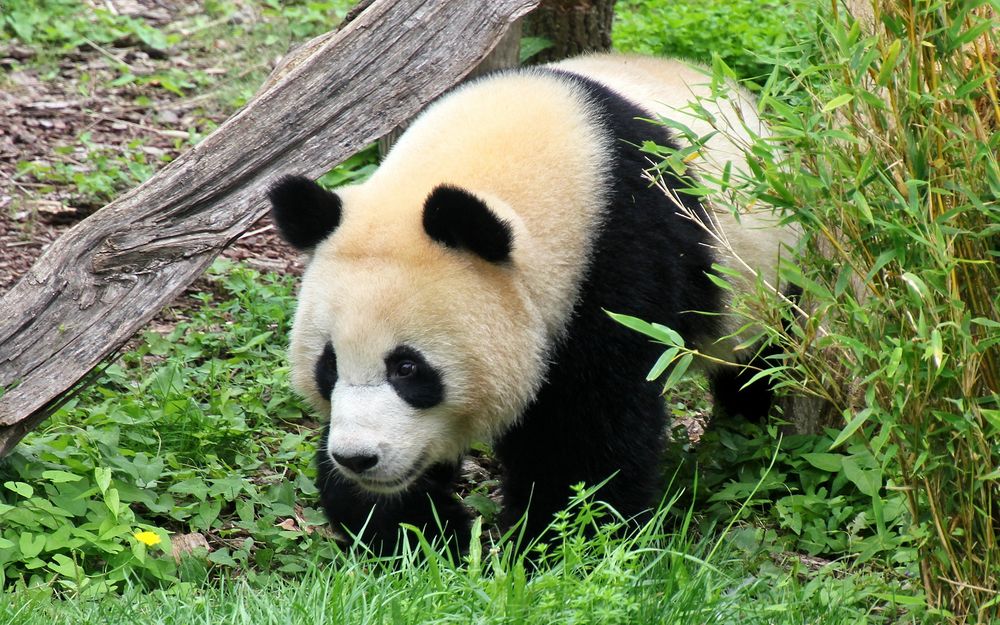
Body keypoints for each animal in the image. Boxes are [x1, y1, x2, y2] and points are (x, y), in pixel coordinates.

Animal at [268, 53, 798, 555]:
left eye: (407, 369)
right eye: (328, 365)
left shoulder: (616, 261)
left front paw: (555, 544)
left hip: (766, 274)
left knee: (765, 359)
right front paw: (422, 532)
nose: (358, 457)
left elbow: (586, 433)